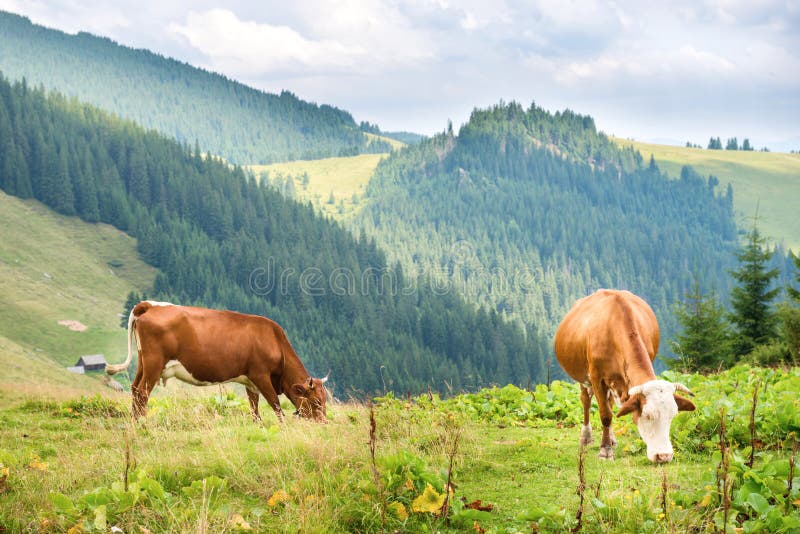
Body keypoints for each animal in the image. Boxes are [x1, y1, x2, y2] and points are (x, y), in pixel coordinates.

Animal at [106, 301, 329, 423]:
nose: (325, 423)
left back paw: (134, 422)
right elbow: (276, 405)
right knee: (142, 392)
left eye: (325, 399)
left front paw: (259, 425)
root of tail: (150, 305)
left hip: (143, 362)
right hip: (154, 362)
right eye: (316, 401)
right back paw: (143, 423)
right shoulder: (261, 375)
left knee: (135, 389)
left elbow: (254, 408)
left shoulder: (250, 380)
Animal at [554, 289, 695, 463]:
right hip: (583, 375)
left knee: (608, 402)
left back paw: (612, 439)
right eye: (647, 415)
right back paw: (586, 437)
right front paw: (605, 450)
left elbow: (610, 410)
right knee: (586, 401)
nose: (664, 456)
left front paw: (608, 443)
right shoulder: (596, 378)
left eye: (672, 416)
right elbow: (605, 415)